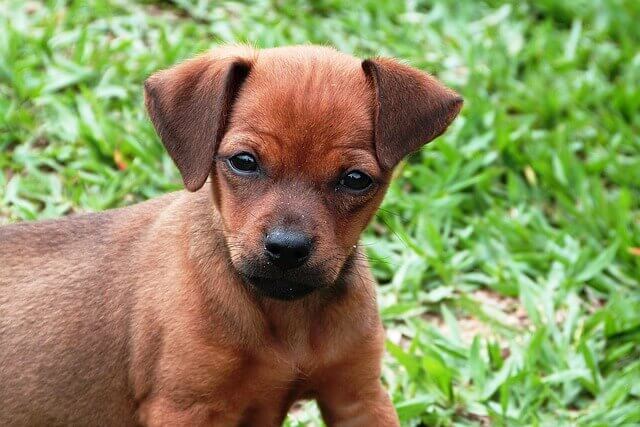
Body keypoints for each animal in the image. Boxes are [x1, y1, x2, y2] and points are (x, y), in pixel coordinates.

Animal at [0, 45, 460, 426]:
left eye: (355, 180)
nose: (286, 249)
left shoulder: (358, 396)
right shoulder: (184, 409)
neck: (287, 318)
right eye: (243, 161)